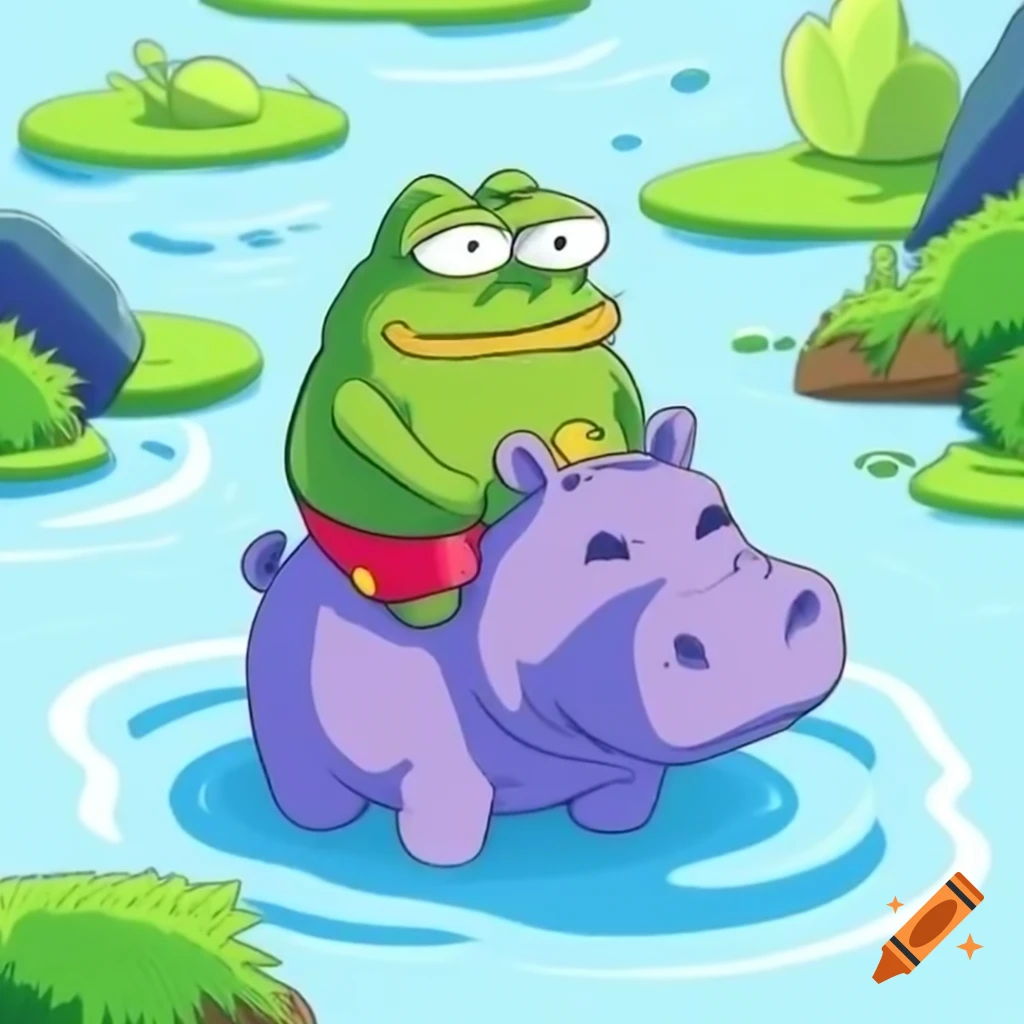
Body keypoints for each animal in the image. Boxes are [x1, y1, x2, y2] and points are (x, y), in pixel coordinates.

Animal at [241, 408, 846, 867]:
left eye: (712, 515)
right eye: (600, 547)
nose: (747, 620)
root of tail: (284, 568)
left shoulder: (631, 768)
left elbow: (627, 797)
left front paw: (612, 831)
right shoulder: (439, 768)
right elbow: (449, 816)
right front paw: (443, 865)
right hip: (287, 738)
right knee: (307, 789)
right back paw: (321, 826)